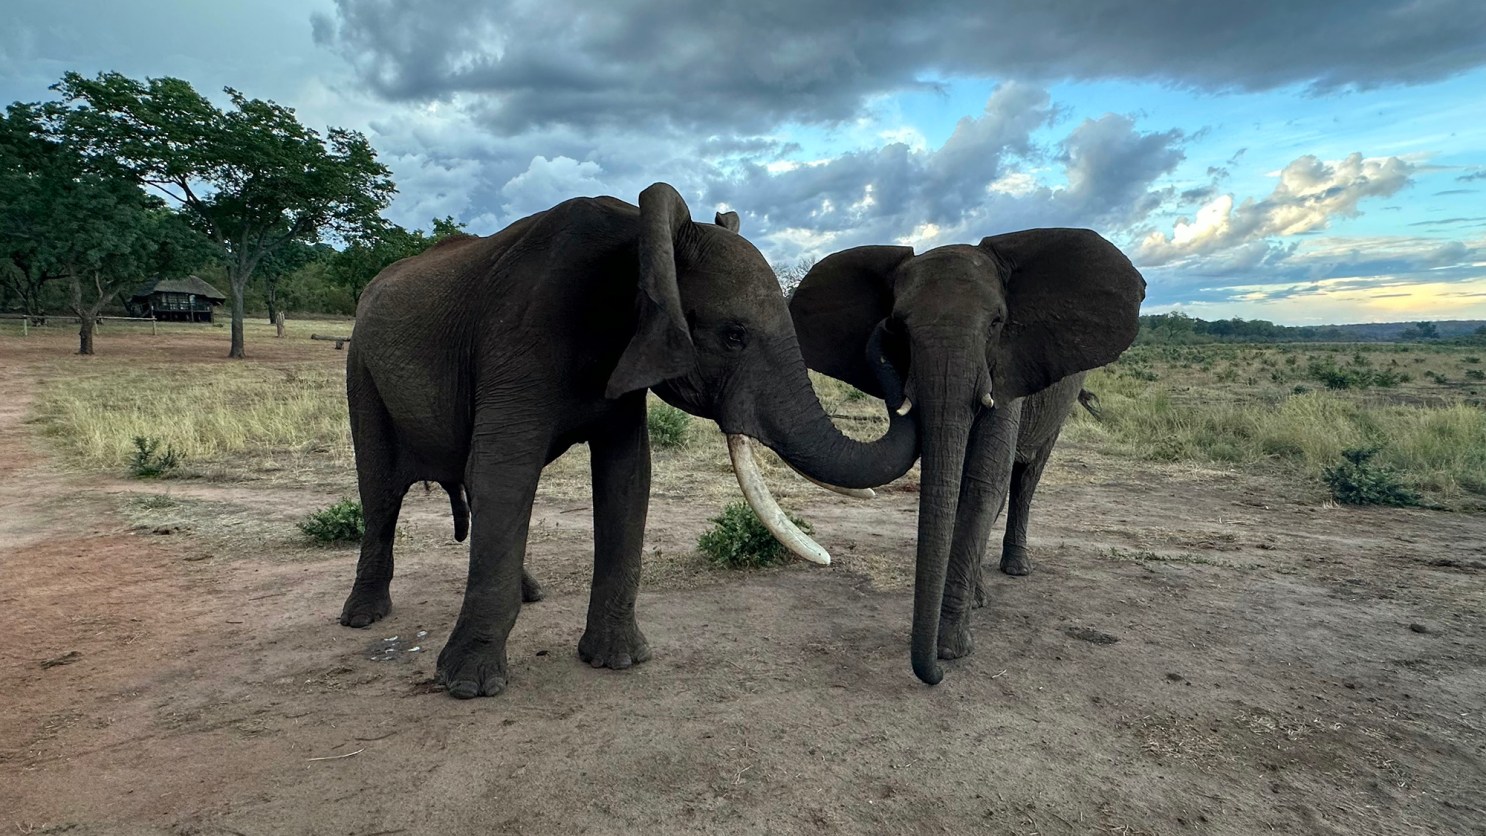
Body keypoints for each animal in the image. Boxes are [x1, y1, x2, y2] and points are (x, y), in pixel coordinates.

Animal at [339, 183, 918, 699]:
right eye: (733, 336)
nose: (891, 328)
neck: (638, 240)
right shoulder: (518, 340)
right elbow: (505, 474)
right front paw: (468, 687)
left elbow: (627, 476)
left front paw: (617, 661)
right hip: (361, 367)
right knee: (382, 491)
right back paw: (363, 617)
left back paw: (531, 593)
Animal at [788, 229, 1144, 685]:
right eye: (899, 326)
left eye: (996, 323)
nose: (935, 674)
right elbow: (953, 485)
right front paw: (957, 629)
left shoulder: (1008, 368)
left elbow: (981, 483)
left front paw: (950, 650)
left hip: (1059, 405)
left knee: (1026, 477)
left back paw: (1016, 568)